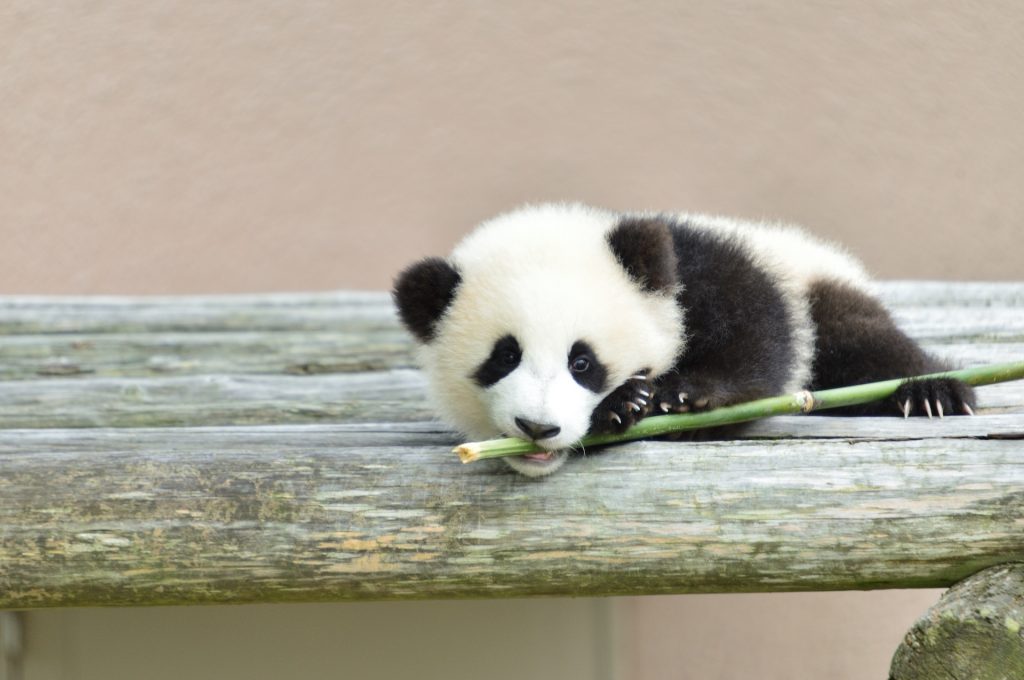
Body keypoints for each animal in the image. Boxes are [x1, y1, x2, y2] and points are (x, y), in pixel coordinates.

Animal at [392, 203, 976, 477]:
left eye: (583, 362)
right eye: (503, 358)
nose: (537, 427)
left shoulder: (702, 265)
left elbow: (759, 333)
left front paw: (670, 394)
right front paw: (629, 403)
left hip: (817, 284)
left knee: (860, 343)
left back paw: (931, 392)